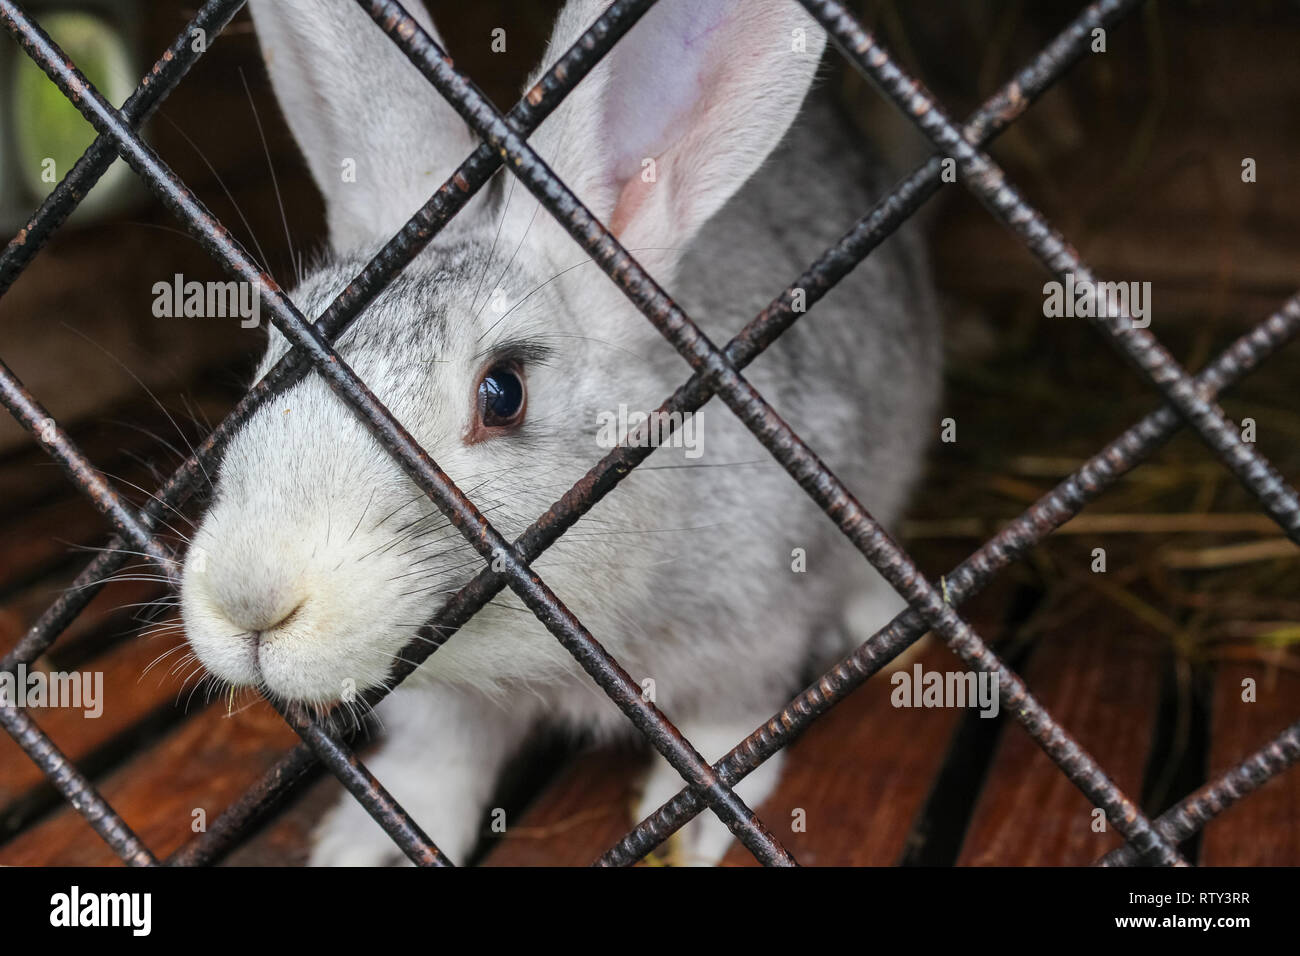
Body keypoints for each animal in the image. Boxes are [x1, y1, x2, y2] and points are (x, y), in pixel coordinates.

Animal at [179, 0, 941, 866]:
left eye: (503, 392)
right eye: (271, 360)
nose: (248, 597)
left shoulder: (752, 635)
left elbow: (725, 730)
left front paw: (700, 833)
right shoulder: (444, 709)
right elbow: (441, 760)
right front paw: (365, 848)